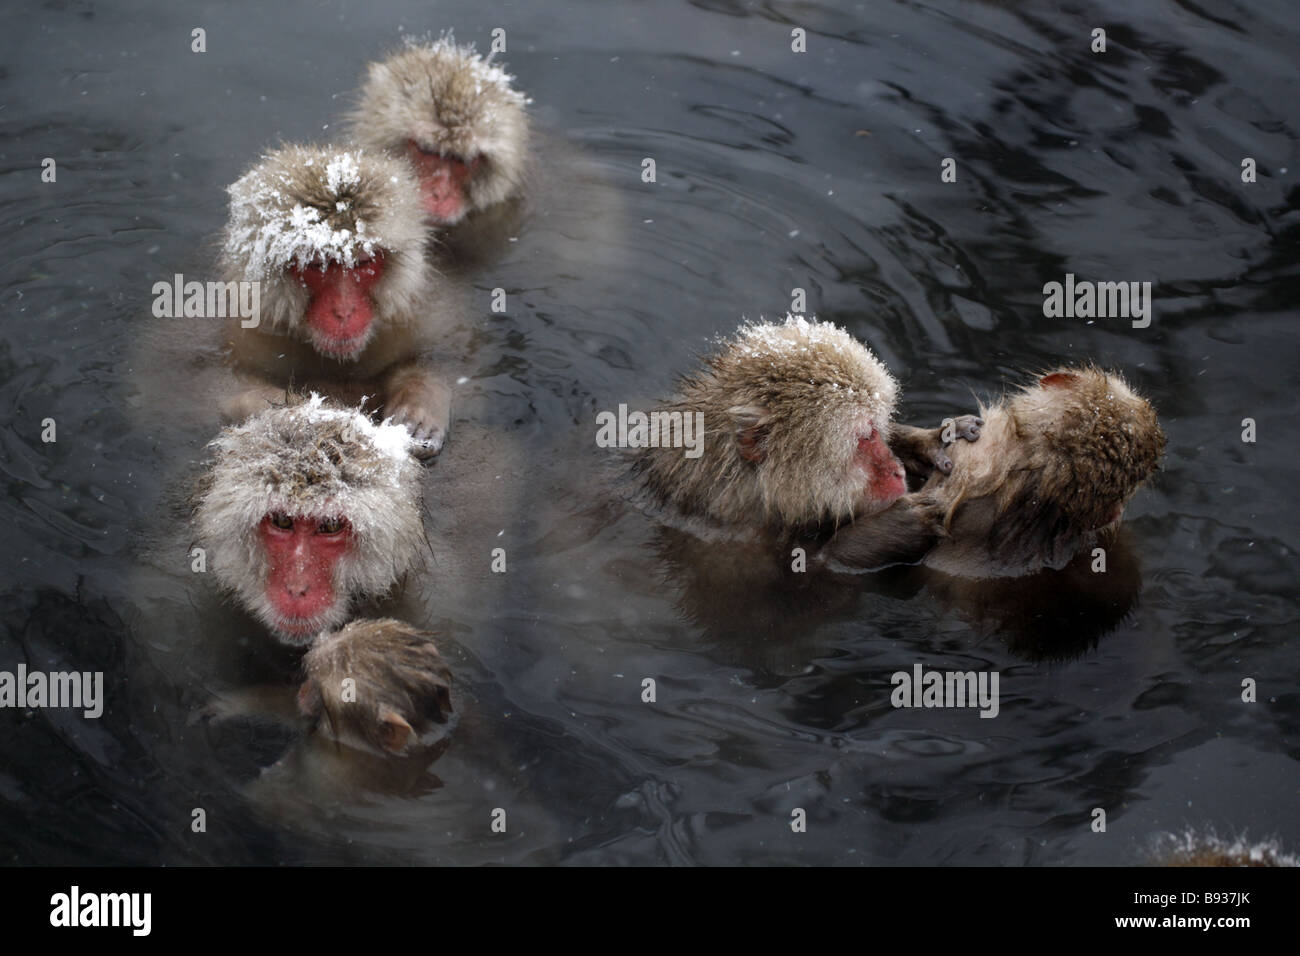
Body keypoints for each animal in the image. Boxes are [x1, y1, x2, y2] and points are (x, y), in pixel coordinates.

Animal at [218, 144, 464, 457]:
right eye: (317, 265)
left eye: (363, 263)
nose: (344, 311)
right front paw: (286, 409)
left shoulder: (422, 312)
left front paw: (420, 398)